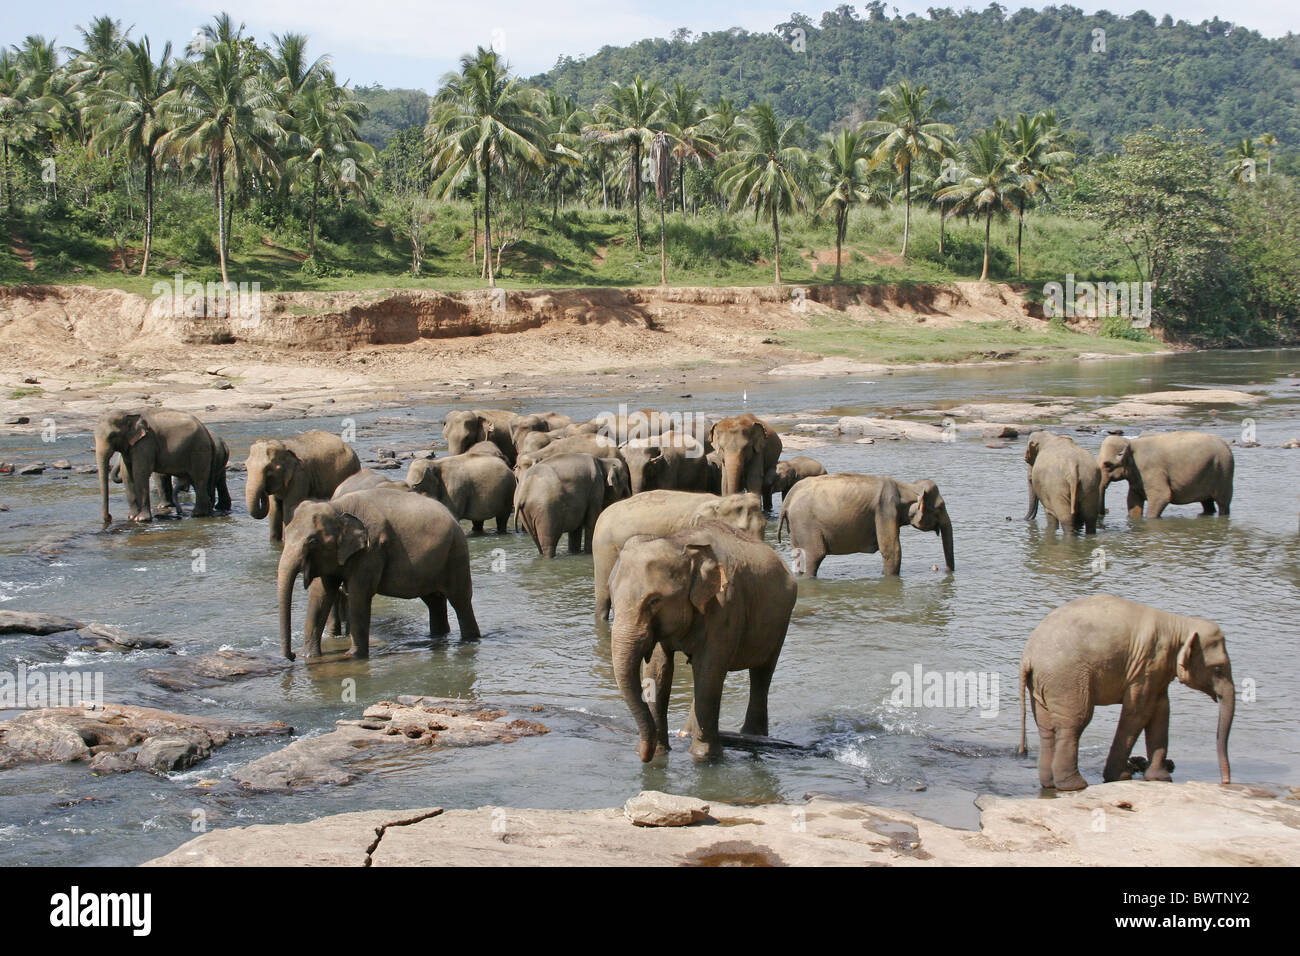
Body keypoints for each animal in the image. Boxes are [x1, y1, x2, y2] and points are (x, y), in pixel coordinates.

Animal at [277, 485, 481, 660]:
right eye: (286, 534)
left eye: (312, 541)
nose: (292, 656)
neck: (337, 507)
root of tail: (453, 517)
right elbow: (320, 595)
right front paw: (309, 656)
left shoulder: (371, 551)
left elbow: (359, 595)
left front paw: (353, 656)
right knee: (434, 601)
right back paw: (438, 638)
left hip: (456, 554)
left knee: (460, 600)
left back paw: (469, 640)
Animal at [610, 521, 797, 762]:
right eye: (613, 598)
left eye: (654, 601)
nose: (644, 755)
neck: (681, 543)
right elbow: (659, 669)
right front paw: (660, 754)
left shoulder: (725, 606)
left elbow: (709, 667)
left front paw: (704, 757)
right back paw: (686, 733)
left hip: (780, 621)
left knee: (761, 673)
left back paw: (753, 737)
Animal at [777, 473, 954, 576]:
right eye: (940, 507)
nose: (943, 570)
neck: (907, 486)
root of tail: (788, 499)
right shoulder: (885, 510)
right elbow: (892, 551)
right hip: (805, 524)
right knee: (814, 556)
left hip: (795, 527)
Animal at [1018, 594, 1234, 791]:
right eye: (1218, 669)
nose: (1225, 781)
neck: (1180, 624)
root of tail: (1029, 656)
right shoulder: (1146, 666)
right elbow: (1139, 713)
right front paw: (1121, 776)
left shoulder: (1157, 671)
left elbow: (1161, 711)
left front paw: (1160, 778)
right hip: (1068, 678)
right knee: (1075, 722)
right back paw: (1074, 785)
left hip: (1043, 684)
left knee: (1047, 728)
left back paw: (1050, 784)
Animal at [1097, 431, 1234, 518]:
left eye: (1107, 465)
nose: (1106, 511)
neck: (1131, 443)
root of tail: (1225, 444)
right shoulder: (1136, 476)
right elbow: (1132, 500)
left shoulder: (1151, 470)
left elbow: (1162, 496)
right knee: (1207, 503)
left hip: (1224, 470)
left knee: (1223, 503)